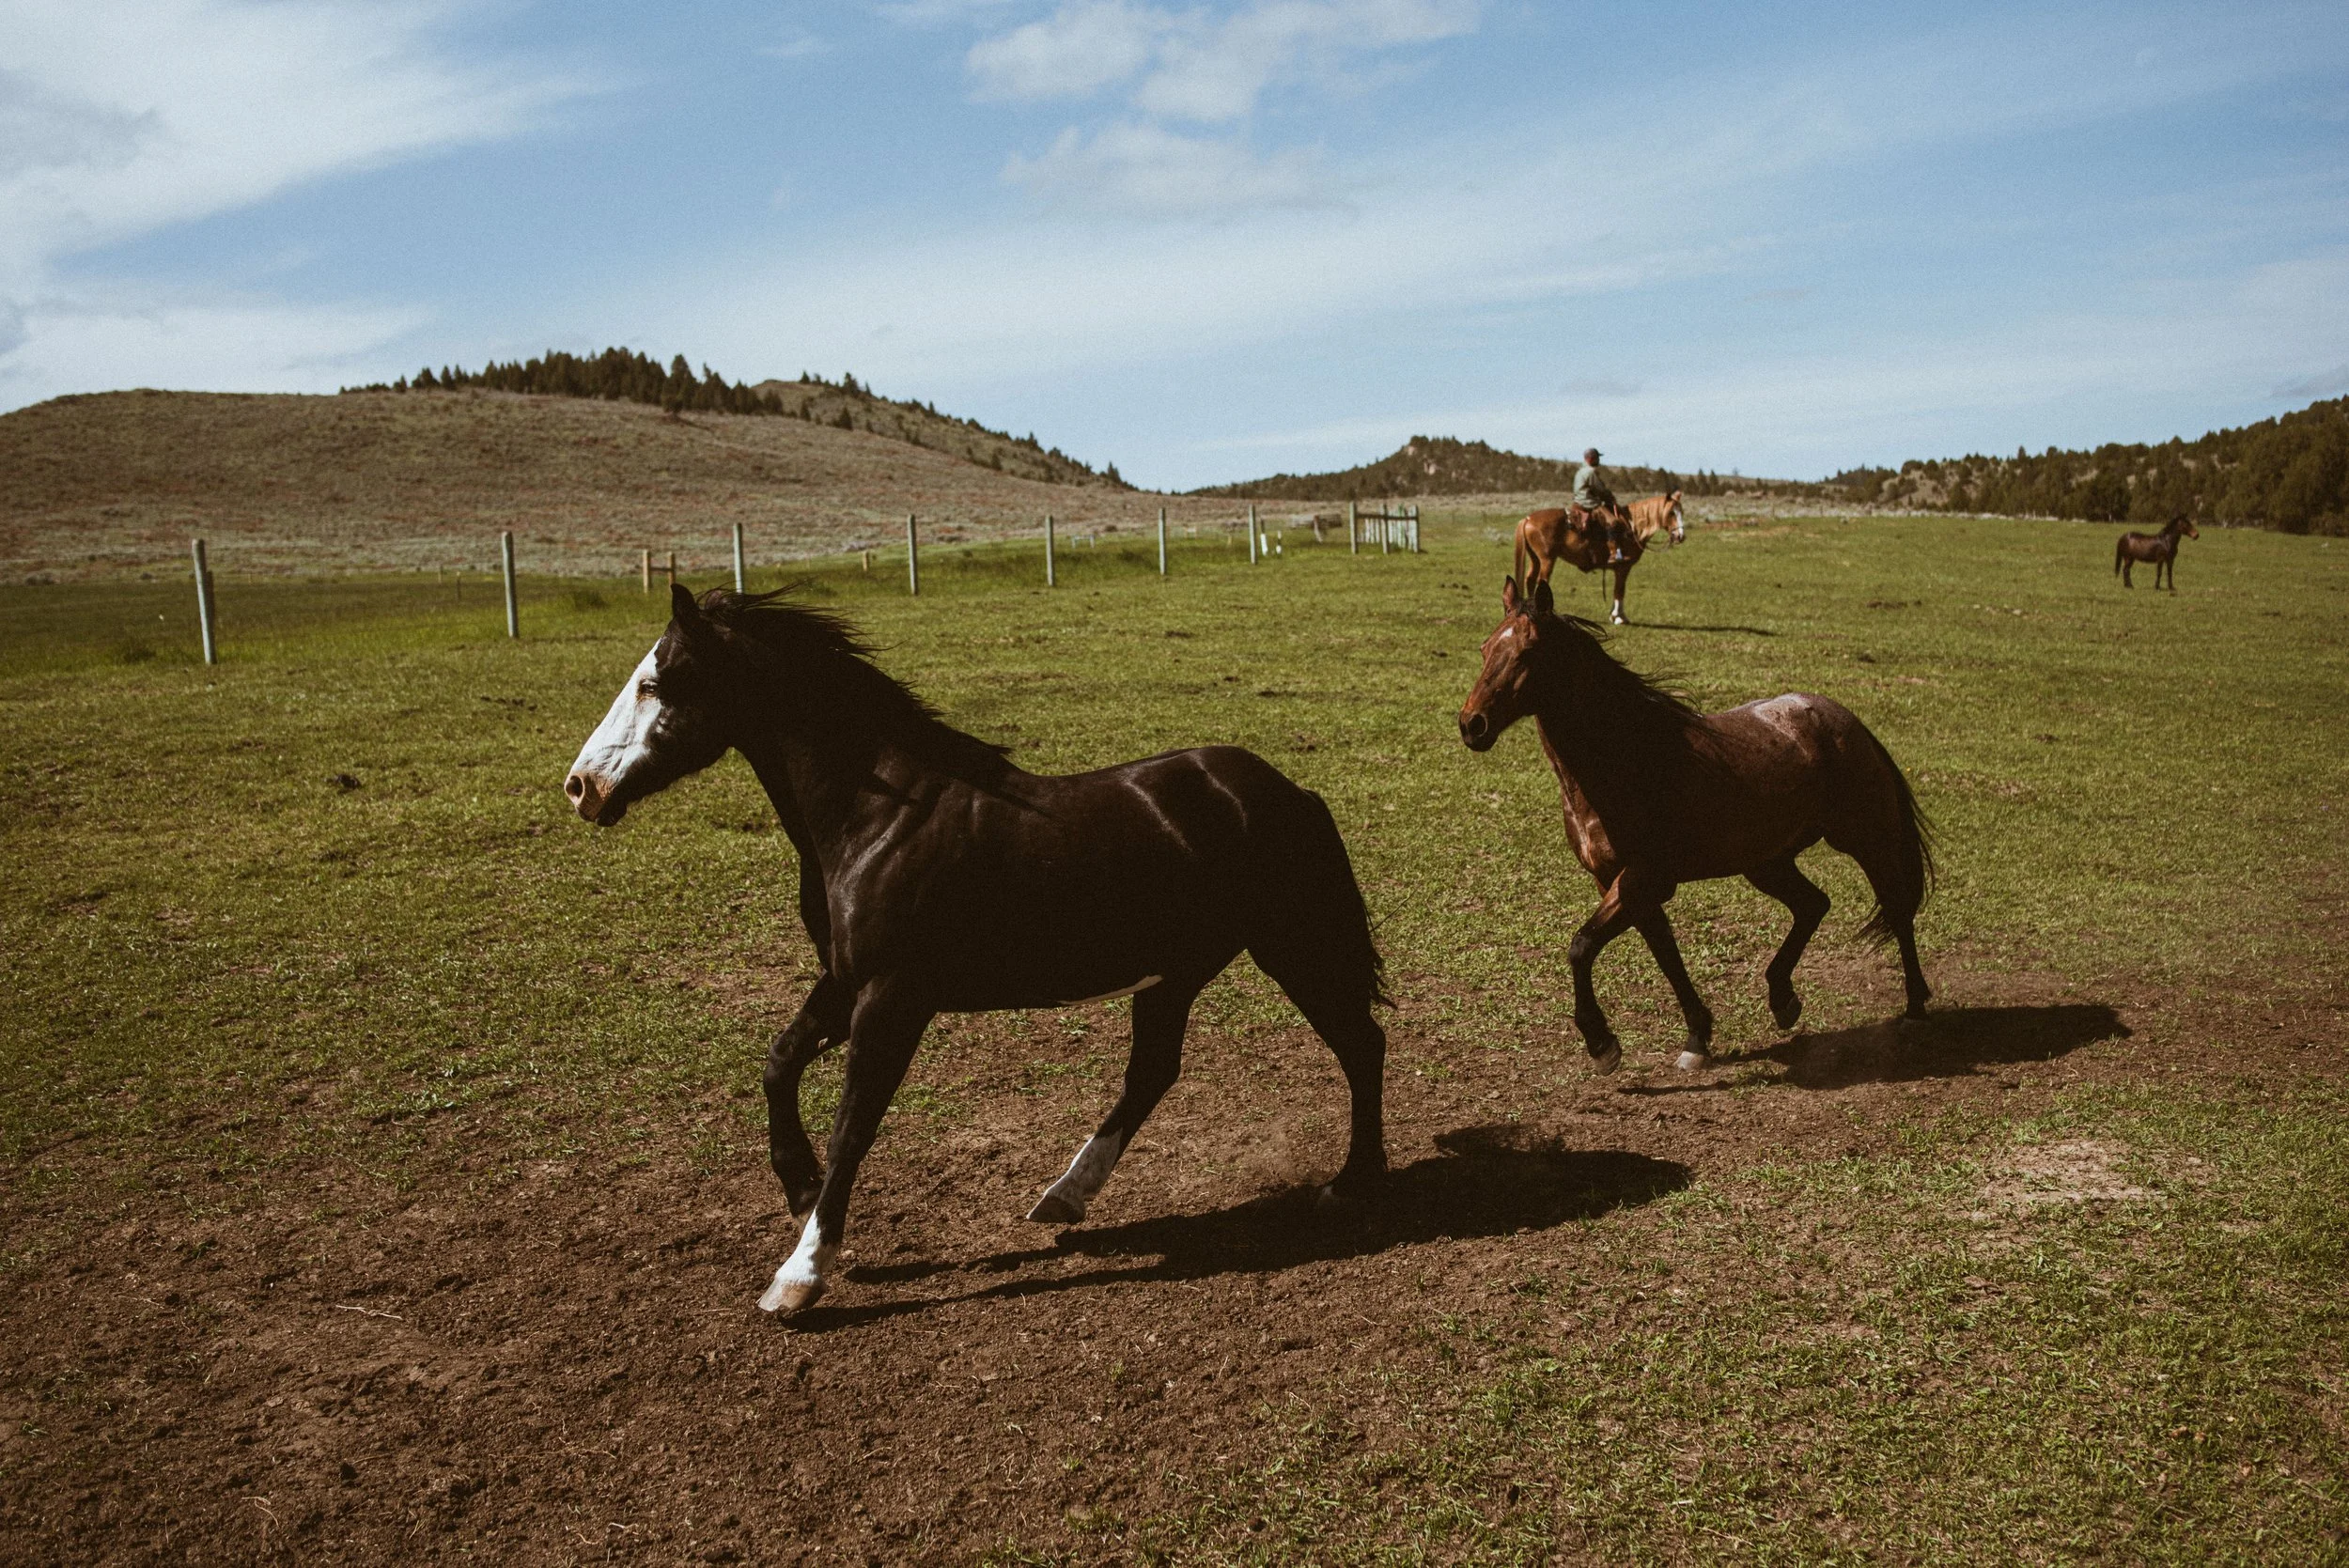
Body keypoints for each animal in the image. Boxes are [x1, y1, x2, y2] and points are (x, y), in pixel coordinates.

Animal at [564, 586, 1390, 1314]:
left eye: (654, 682)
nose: (580, 787)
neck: (876, 820)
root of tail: (1286, 789)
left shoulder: (894, 996)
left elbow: (854, 1122)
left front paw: (800, 1275)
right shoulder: (845, 979)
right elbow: (778, 1063)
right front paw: (799, 1187)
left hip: (1292, 946)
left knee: (1361, 1042)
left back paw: (1354, 1182)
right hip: (1176, 972)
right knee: (1155, 1071)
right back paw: (1064, 1196)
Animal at [1455, 576, 1932, 1073]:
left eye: (1528, 652)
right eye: (1485, 648)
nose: (1472, 724)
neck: (1623, 759)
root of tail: (1847, 720)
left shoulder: (1643, 878)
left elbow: (1582, 947)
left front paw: (1601, 1043)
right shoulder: (1621, 882)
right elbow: (1665, 952)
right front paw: (1697, 1037)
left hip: (1867, 839)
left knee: (1897, 910)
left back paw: (1915, 1011)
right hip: (1766, 862)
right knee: (1813, 904)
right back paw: (1782, 999)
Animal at [1512, 490, 1685, 626]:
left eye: (1681, 512)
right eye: (1671, 512)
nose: (1680, 536)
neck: (1631, 527)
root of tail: (1527, 519)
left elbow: (1618, 590)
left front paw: (1616, 615)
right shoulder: (1623, 567)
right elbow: (1619, 590)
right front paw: (1619, 618)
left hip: (1535, 558)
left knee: (1530, 579)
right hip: (1547, 559)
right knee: (1541, 580)